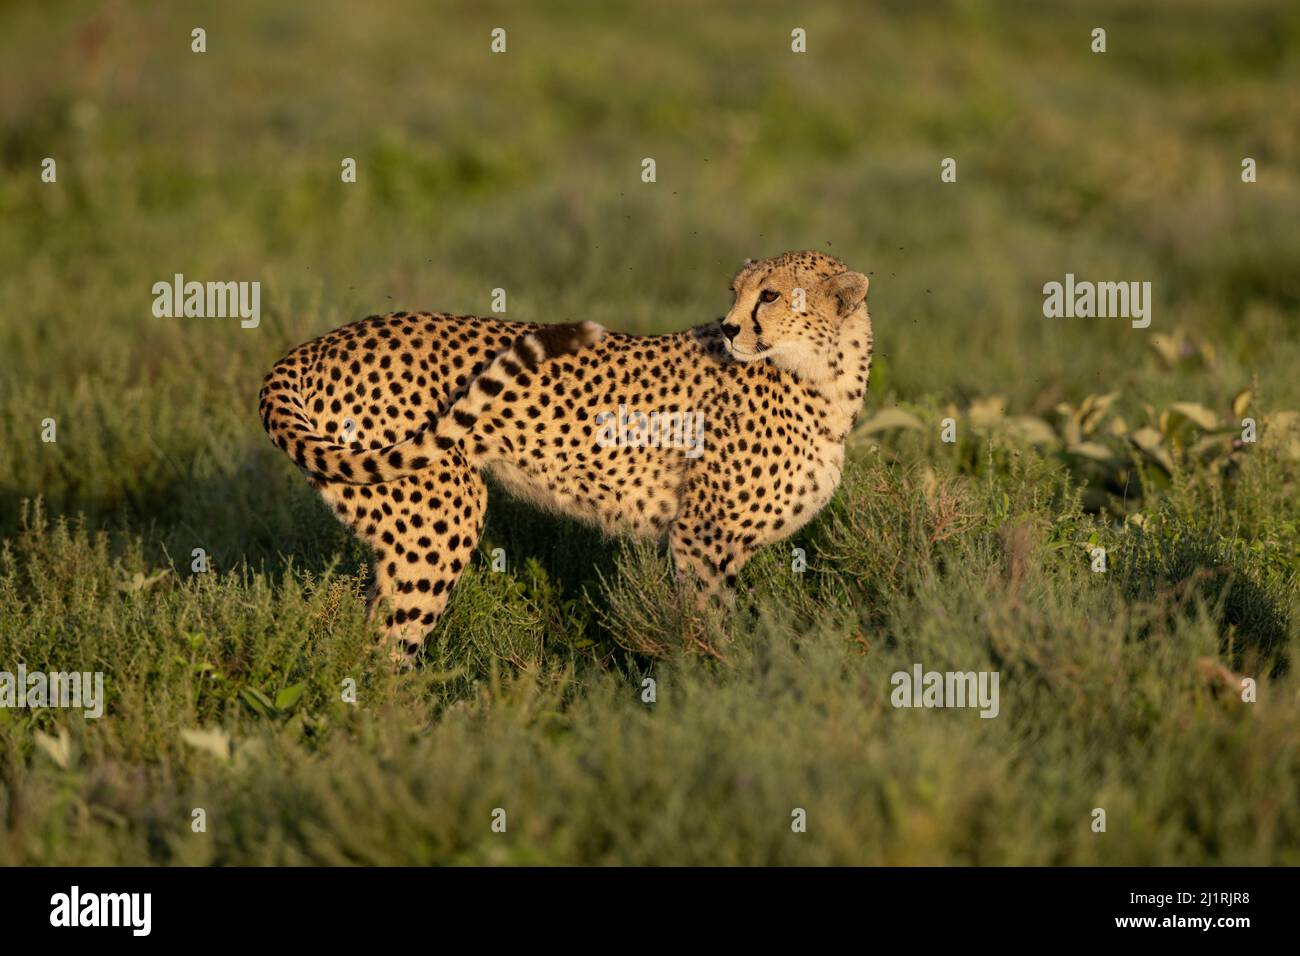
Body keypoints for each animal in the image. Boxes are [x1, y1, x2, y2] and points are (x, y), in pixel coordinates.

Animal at [259, 250, 873, 661]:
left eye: (769, 294)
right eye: (737, 292)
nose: (728, 328)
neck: (824, 378)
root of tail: (325, 340)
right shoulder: (703, 537)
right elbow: (709, 628)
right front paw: (718, 687)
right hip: (437, 516)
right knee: (383, 650)